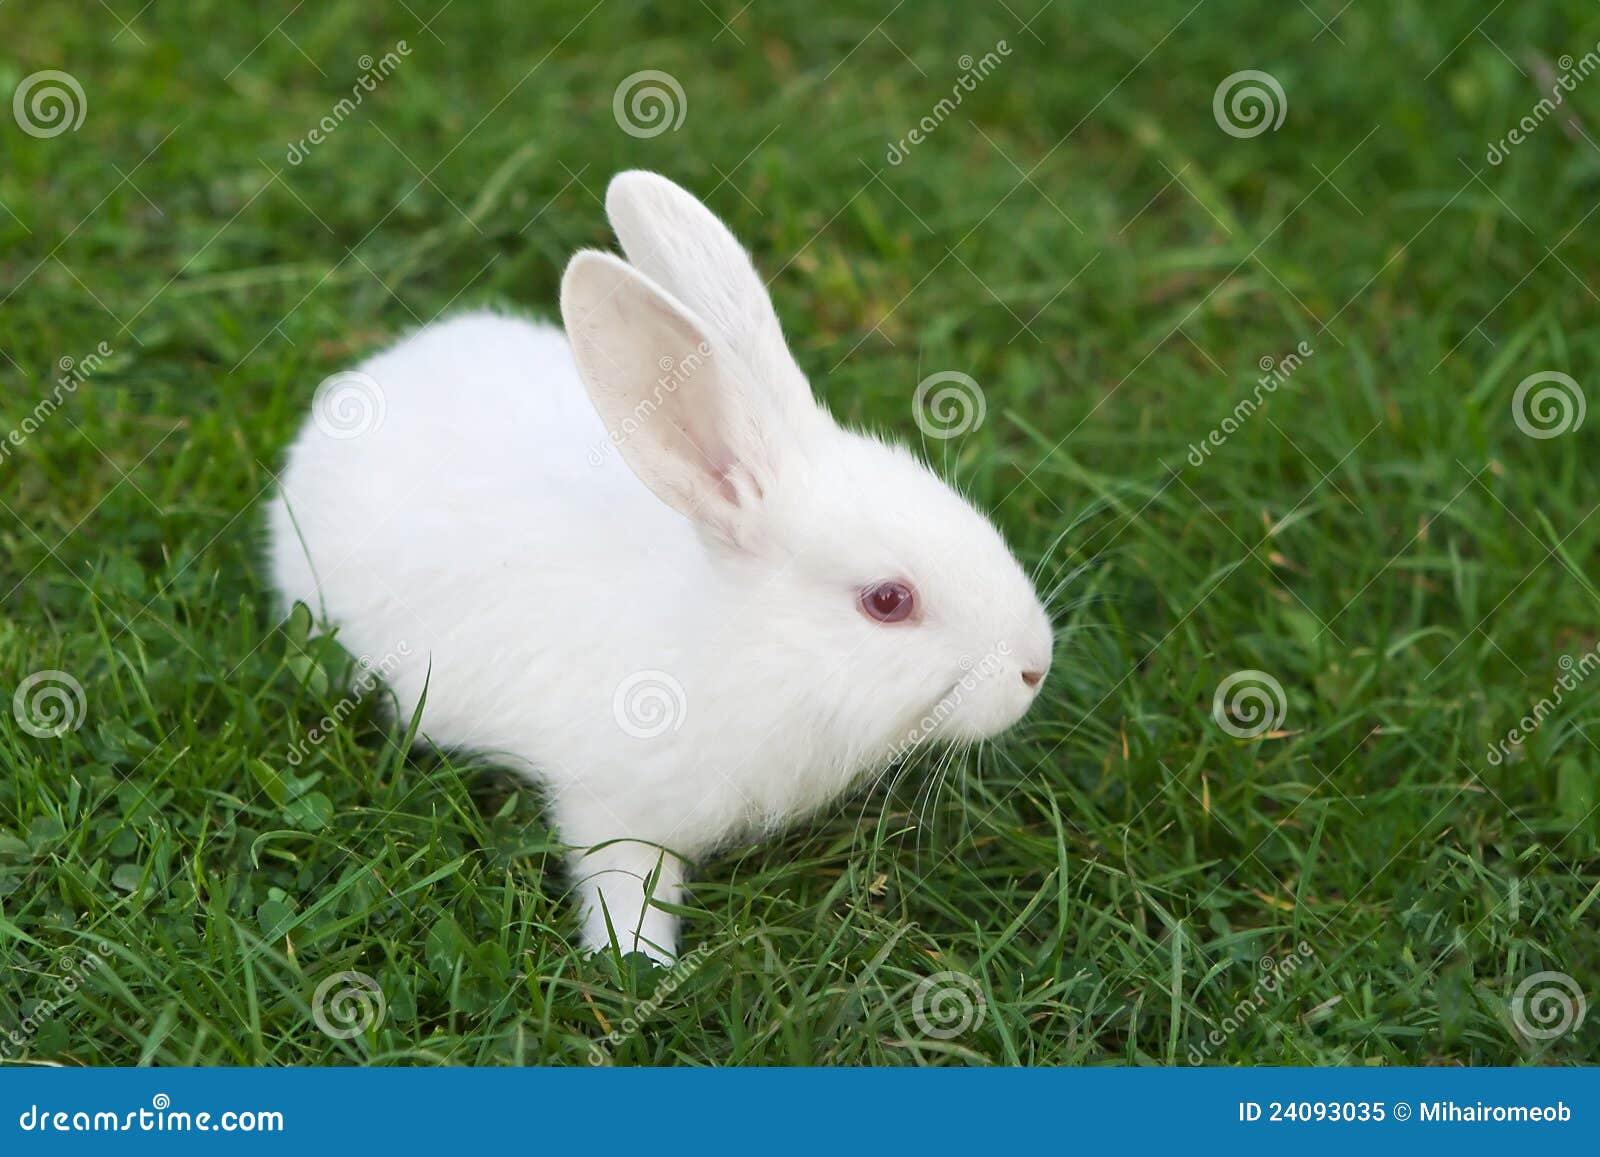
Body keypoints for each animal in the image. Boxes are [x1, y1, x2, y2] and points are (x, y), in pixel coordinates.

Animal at [267, 171, 1054, 963]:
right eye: (888, 600)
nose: (1035, 666)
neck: (747, 650)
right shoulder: (612, 803)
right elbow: (623, 883)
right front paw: (639, 961)